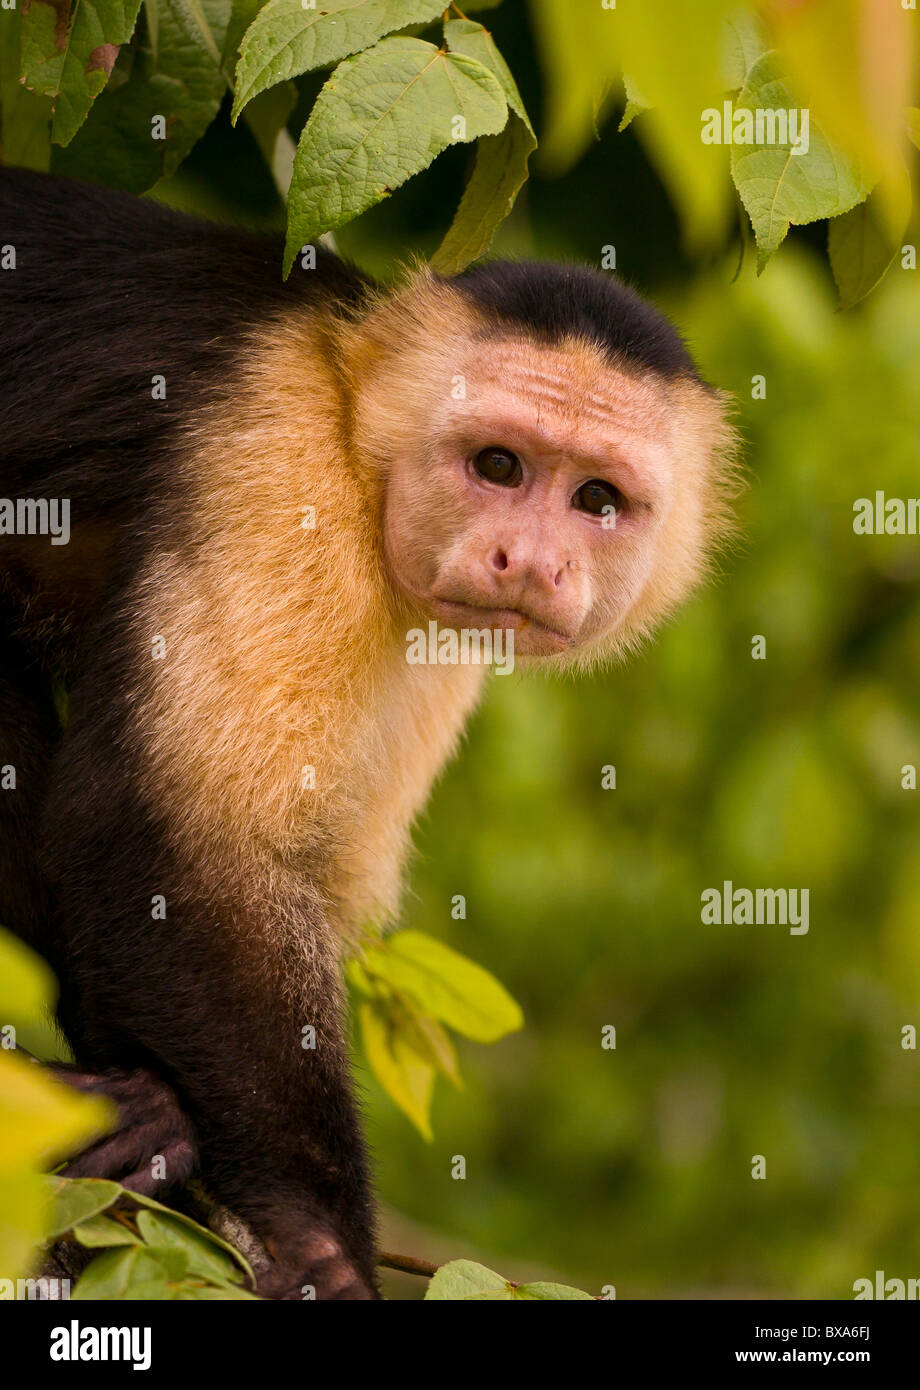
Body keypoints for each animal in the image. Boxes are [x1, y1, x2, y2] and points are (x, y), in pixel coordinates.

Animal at [0, 168, 737, 1300]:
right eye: (496, 464)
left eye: (597, 499)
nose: (529, 562)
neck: (354, 416)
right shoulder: (281, 455)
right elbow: (181, 836)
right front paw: (318, 1245)